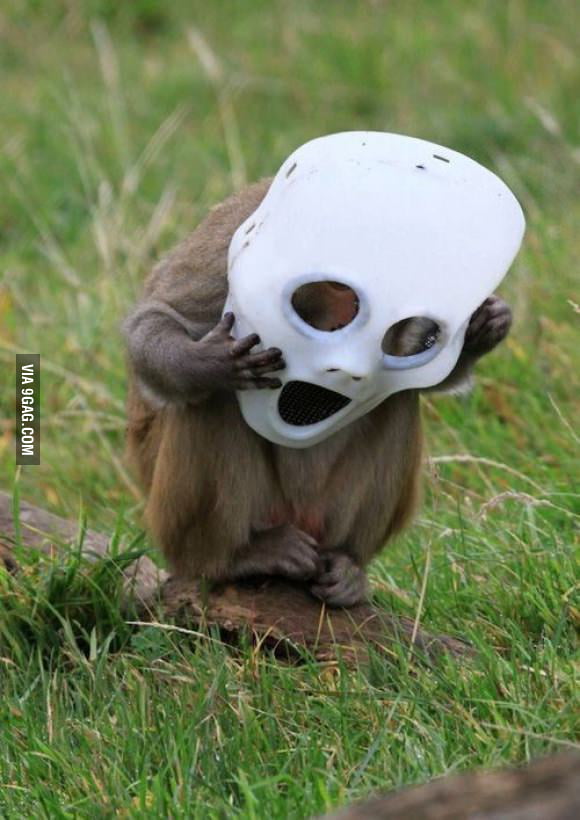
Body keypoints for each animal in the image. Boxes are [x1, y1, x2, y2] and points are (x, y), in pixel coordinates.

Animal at [123, 178, 512, 607]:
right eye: (344, 293)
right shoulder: (226, 249)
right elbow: (158, 316)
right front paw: (207, 362)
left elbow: (414, 375)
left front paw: (479, 330)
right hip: (179, 520)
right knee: (217, 401)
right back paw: (233, 557)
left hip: (323, 512)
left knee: (395, 401)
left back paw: (348, 565)